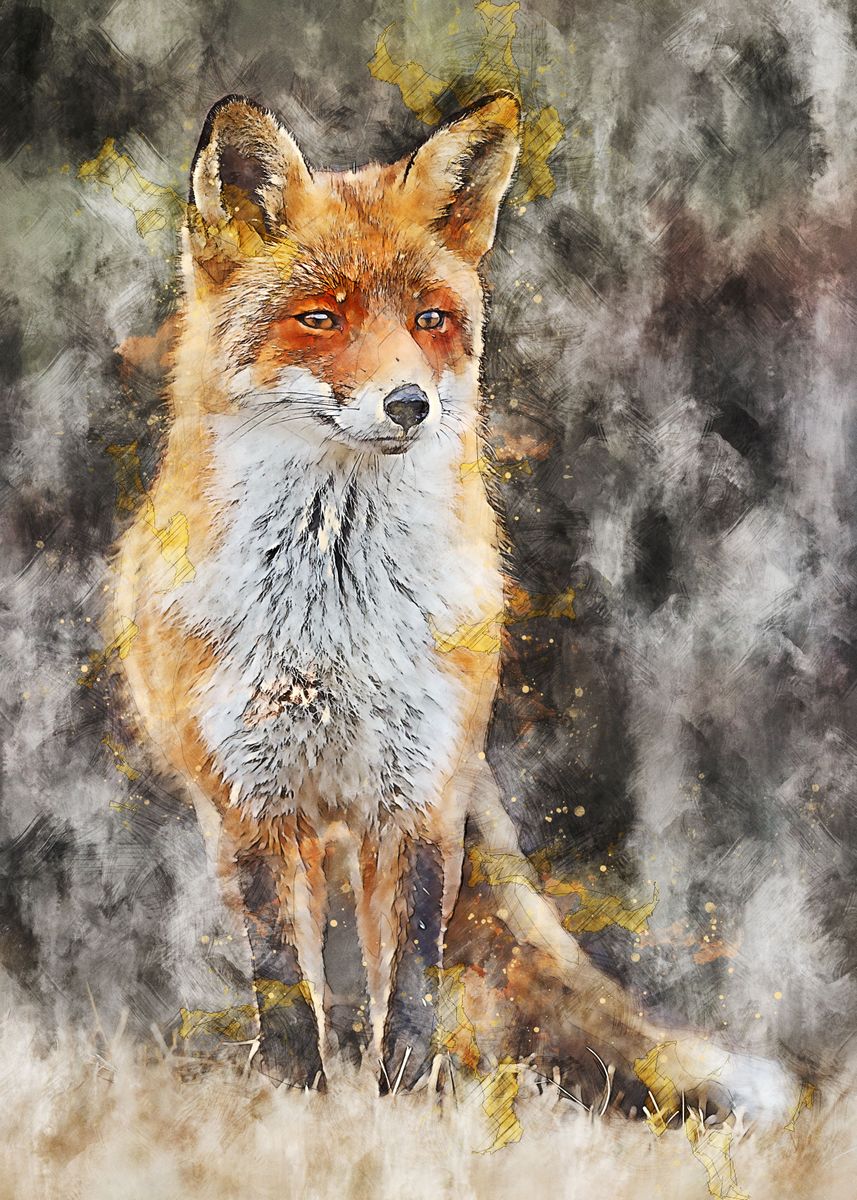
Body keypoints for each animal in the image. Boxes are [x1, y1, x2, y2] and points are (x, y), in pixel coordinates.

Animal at [111, 92, 793, 1110]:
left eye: (431, 318)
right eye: (321, 317)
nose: (408, 405)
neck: (334, 619)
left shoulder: (420, 790)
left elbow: (414, 980)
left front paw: (403, 1102)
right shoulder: (251, 803)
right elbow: (284, 984)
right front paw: (294, 1099)